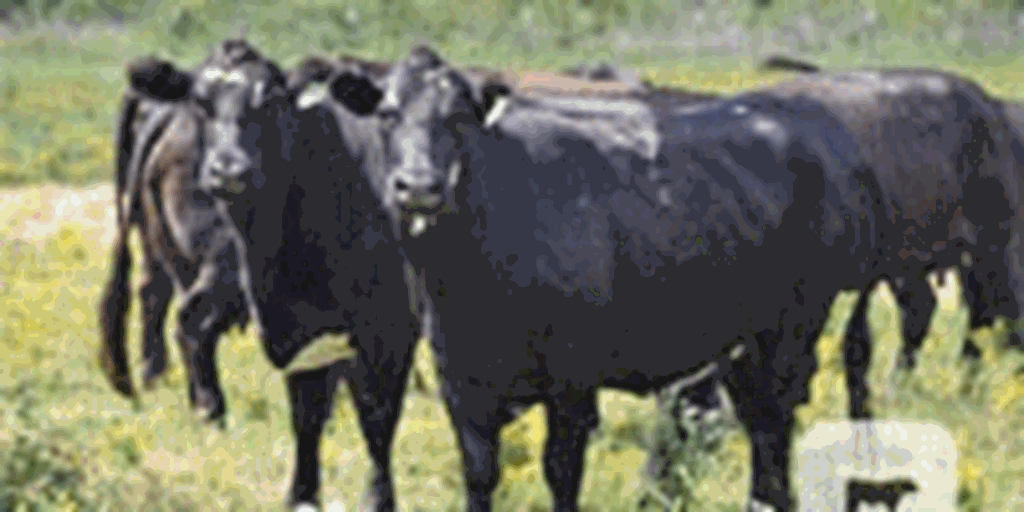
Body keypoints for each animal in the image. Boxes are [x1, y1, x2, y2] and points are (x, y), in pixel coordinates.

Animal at [97, 40, 414, 511]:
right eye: (202, 102)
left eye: (269, 102)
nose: (228, 171)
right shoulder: (339, 331)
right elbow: (336, 414)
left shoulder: (375, 329)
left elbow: (360, 413)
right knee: (189, 319)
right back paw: (209, 412)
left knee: (159, 300)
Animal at [367, 45, 1023, 512]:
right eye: (387, 114)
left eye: (459, 118)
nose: (419, 187)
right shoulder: (462, 387)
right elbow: (480, 478)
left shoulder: (572, 382)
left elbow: (562, 473)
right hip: (744, 346)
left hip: (803, 325)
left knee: (779, 424)